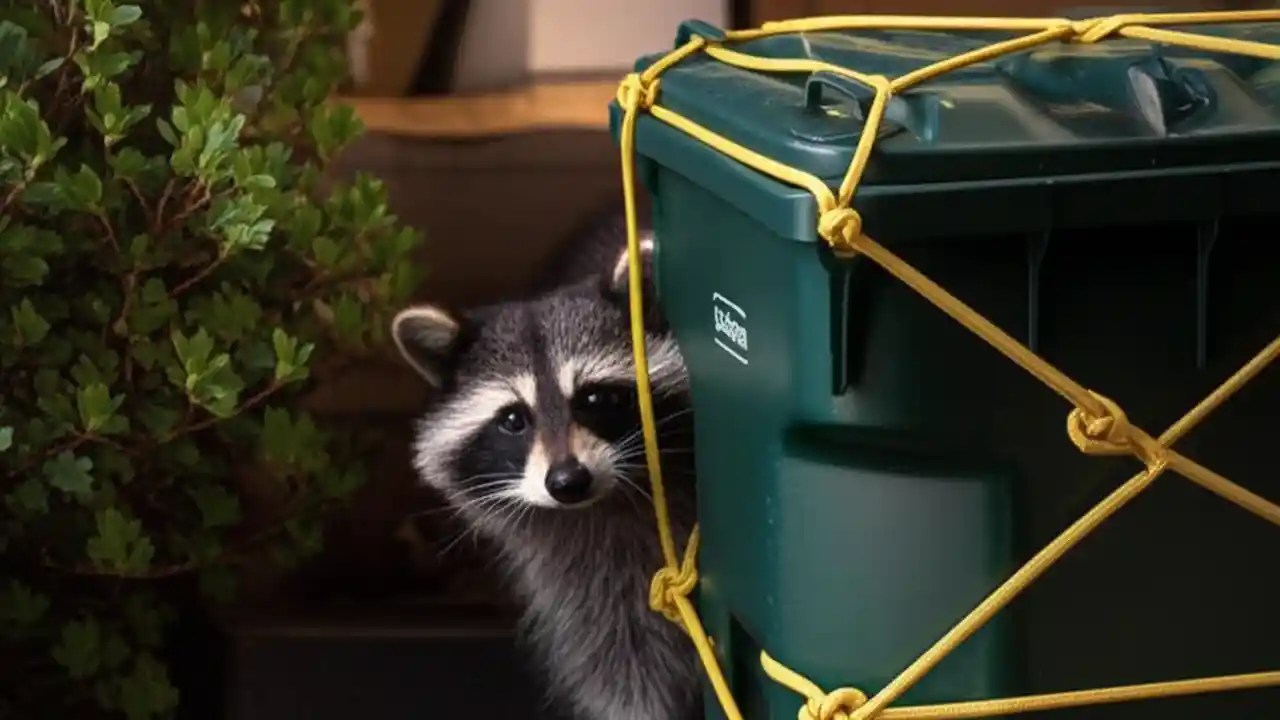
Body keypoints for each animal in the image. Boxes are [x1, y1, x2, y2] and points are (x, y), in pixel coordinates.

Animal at [391, 210, 701, 720]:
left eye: (594, 399)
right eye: (513, 420)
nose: (568, 481)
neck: (604, 509)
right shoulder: (586, 585)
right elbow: (626, 669)